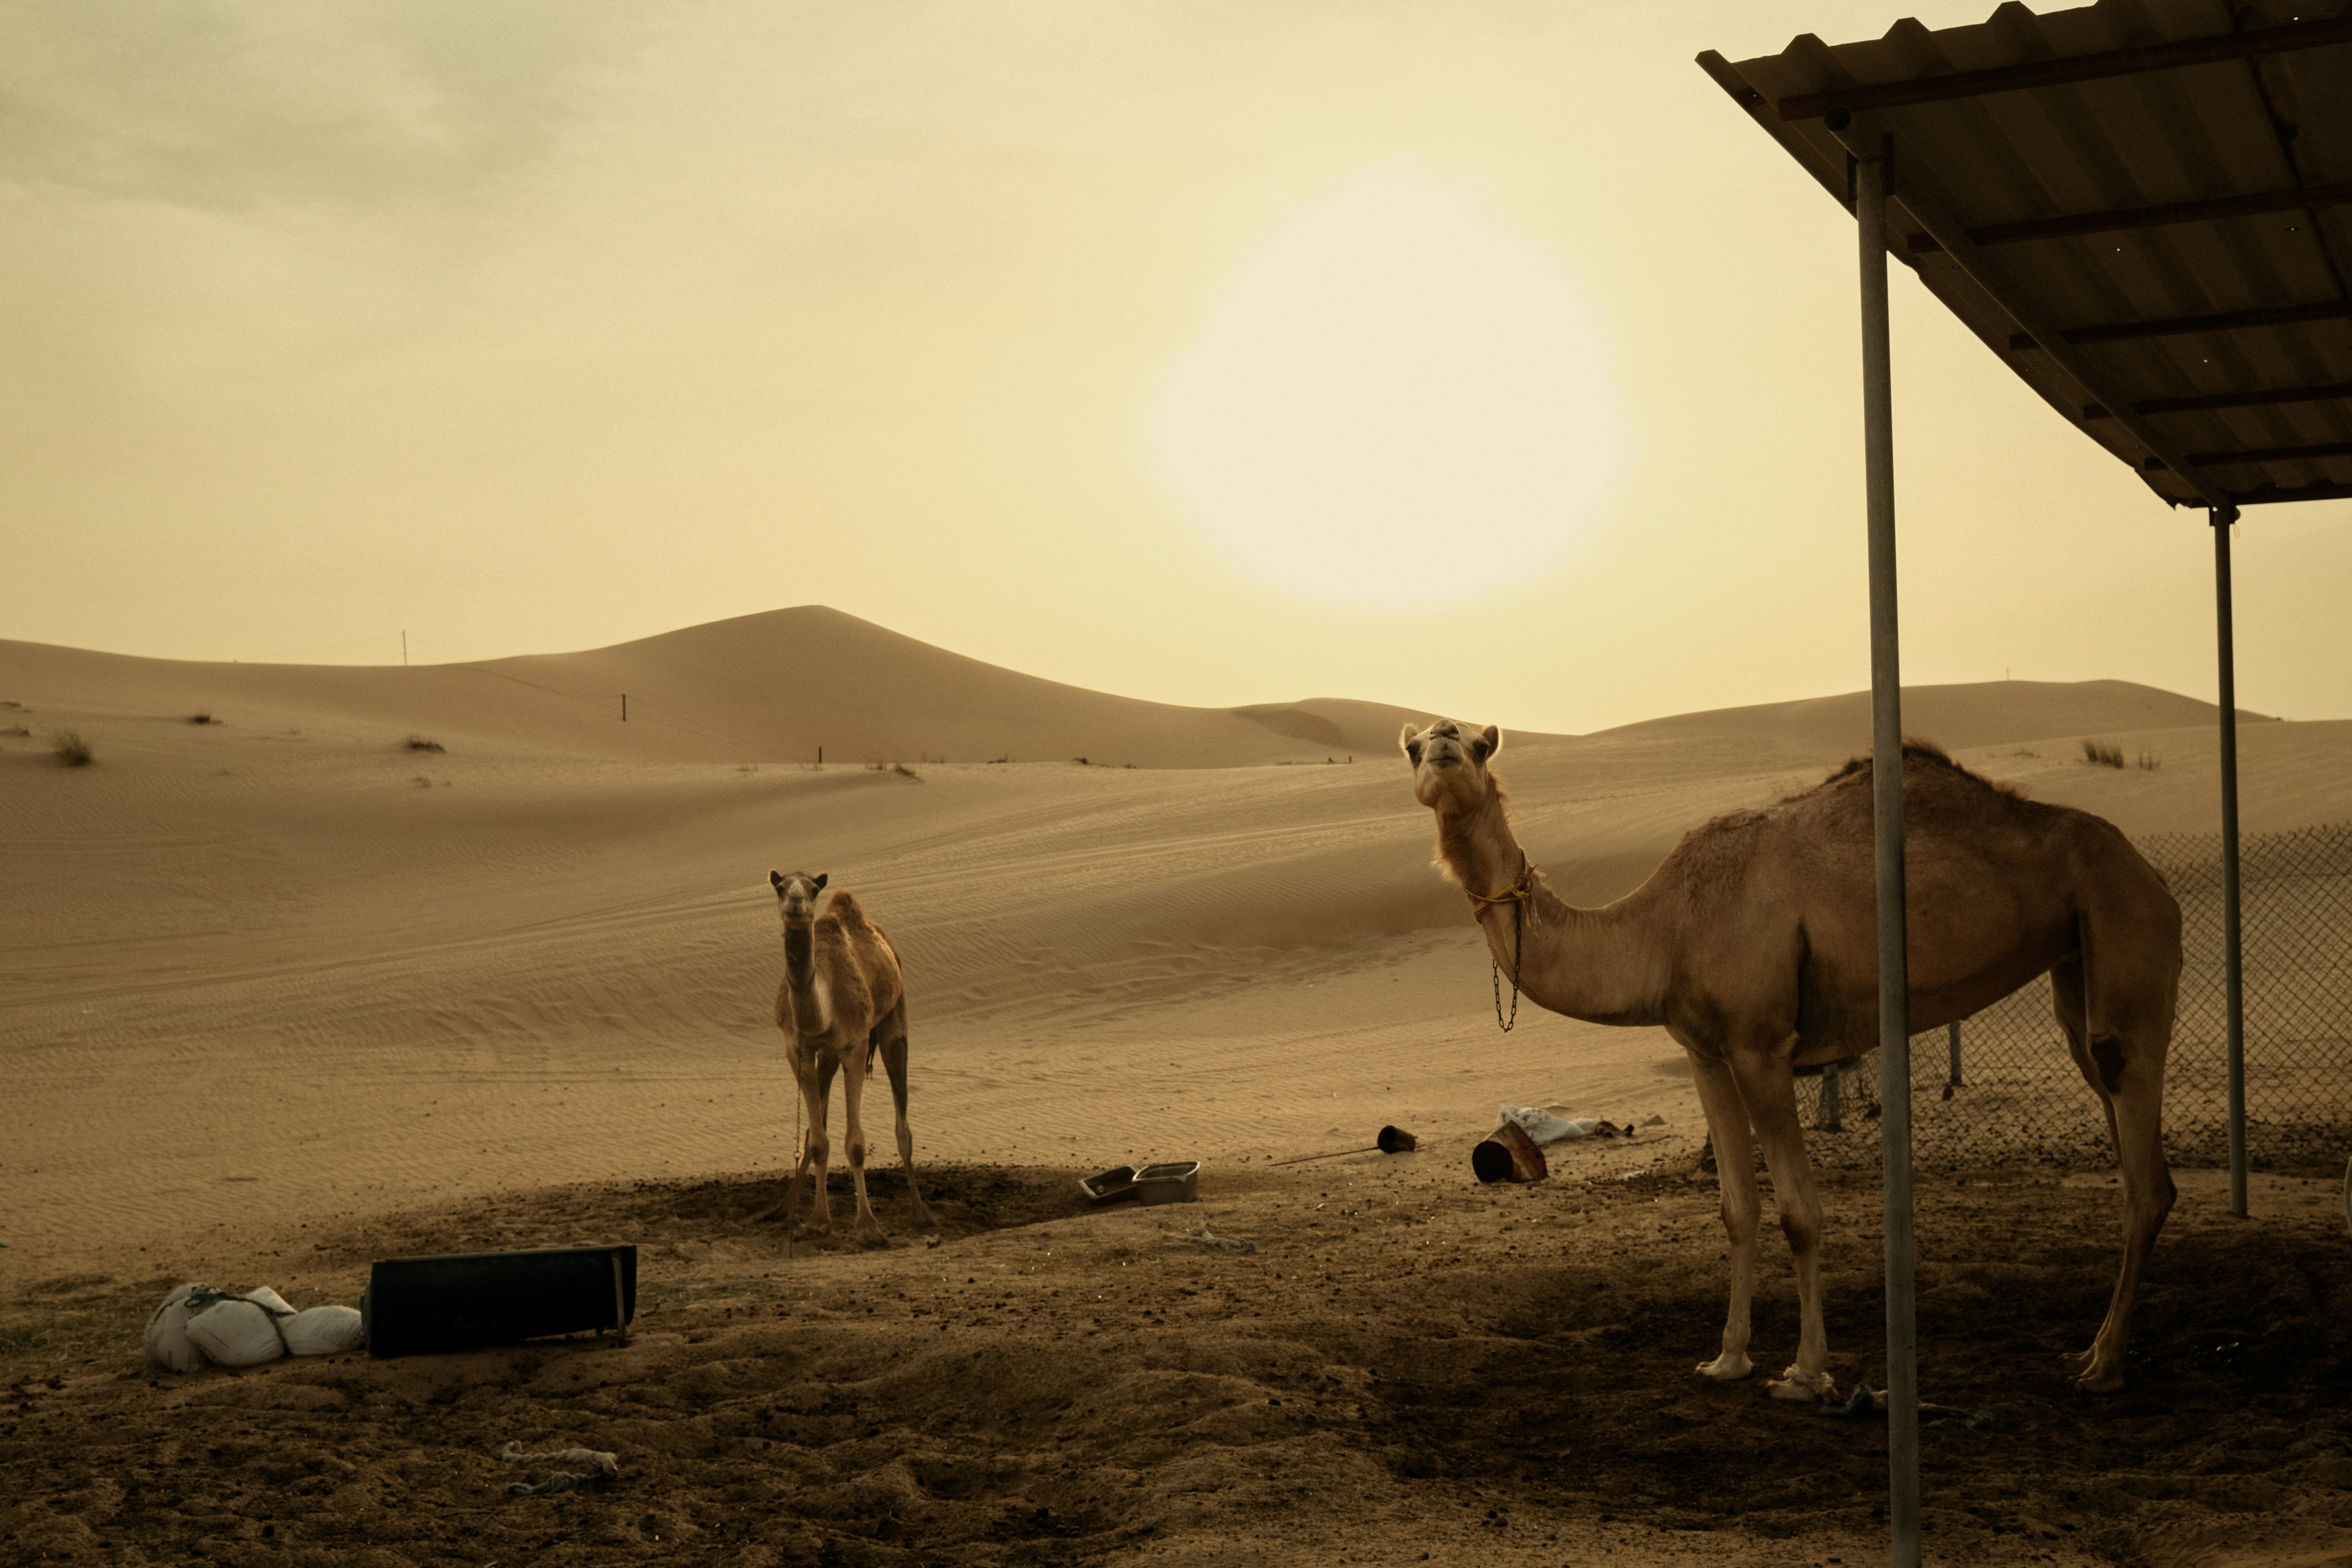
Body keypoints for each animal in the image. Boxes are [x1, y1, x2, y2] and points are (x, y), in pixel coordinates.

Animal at [769, 870, 933, 1248]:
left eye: (813, 890)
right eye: (780, 888)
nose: (796, 902)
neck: (823, 1009)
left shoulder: (855, 1047)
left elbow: (856, 1144)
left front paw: (869, 1227)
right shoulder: (798, 1050)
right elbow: (817, 1141)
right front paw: (817, 1220)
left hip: (894, 1017)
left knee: (903, 1123)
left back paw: (920, 1213)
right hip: (827, 1055)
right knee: (818, 1124)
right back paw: (784, 1208)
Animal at [1400, 719, 2181, 1397]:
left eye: (1477, 744)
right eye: (1414, 747)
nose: (1442, 744)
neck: (1665, 928)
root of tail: (2152, 872)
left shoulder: (1761, 1047)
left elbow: (1798, 1214)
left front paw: (1806, 1373)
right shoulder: (1704, 1054)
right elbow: (1736, 1209)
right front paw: (1727, 1359)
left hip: (2124, 924)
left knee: (2141, 1159)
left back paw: (2105, 1365)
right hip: (2074, 965)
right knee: (2124, 1129)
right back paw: (2088, 1348)